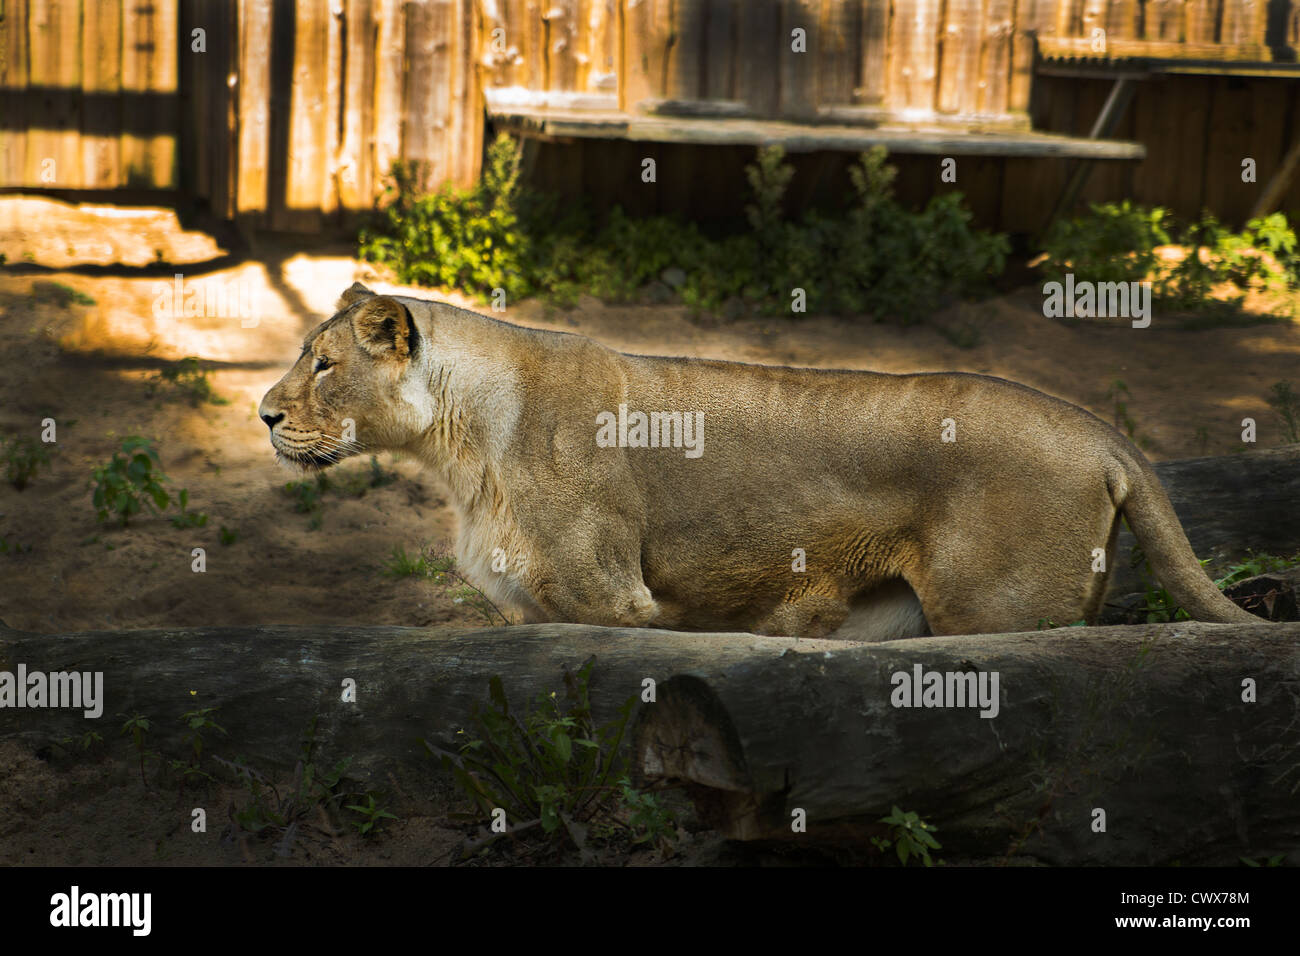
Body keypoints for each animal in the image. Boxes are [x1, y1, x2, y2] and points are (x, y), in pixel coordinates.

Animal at [258, 282, 1257, 639]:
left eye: (324, 364)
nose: (263, 414)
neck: (460, 445)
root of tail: (1103, 431)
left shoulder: (611, 598)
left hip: (996, 614)